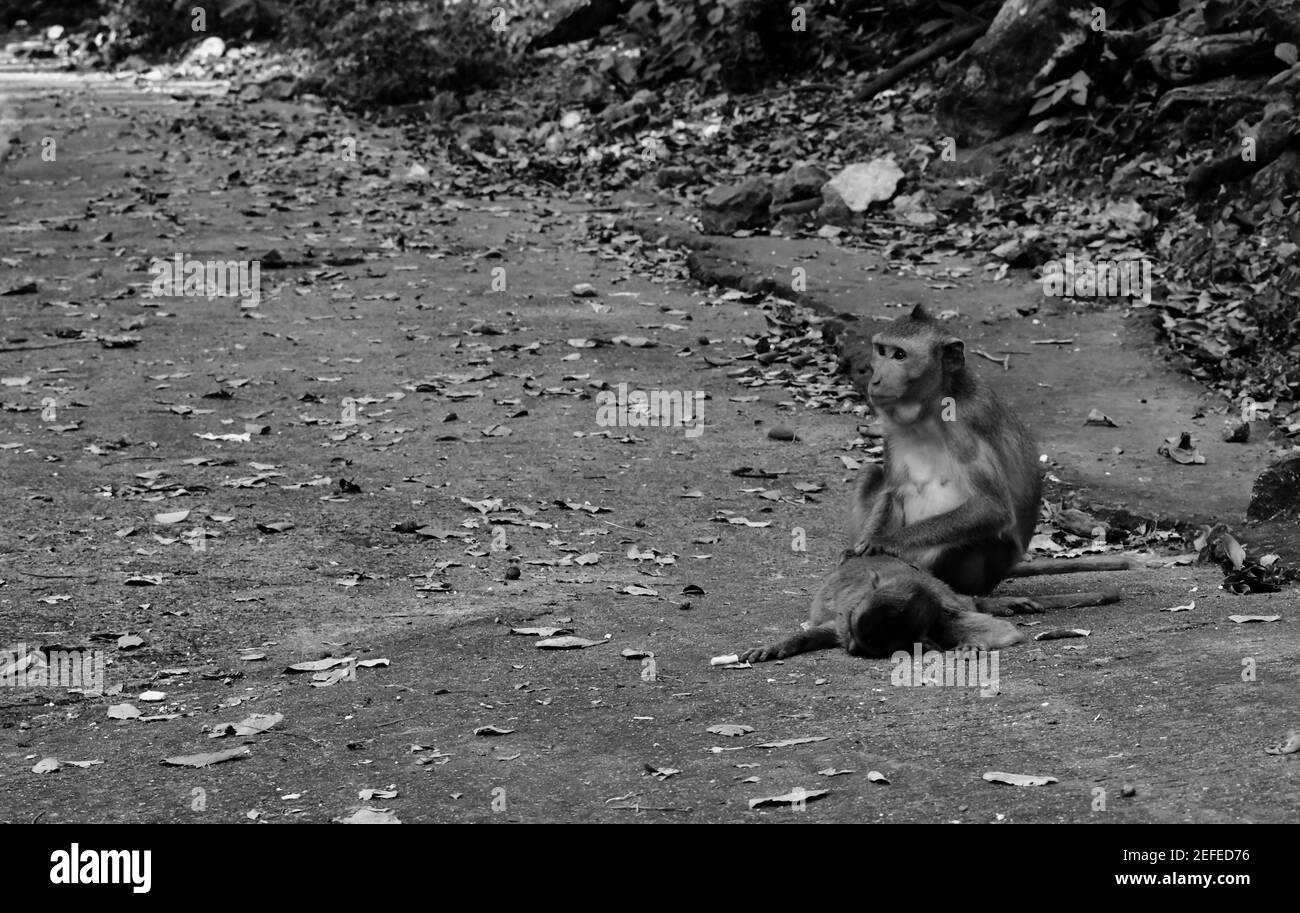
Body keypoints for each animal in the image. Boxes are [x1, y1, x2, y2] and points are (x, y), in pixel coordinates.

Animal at [738, 553, 1120, 664]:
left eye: (867, 648)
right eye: (856, 641)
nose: (852, 649)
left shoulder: (944, 617)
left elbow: (996, 632)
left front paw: (972, 646)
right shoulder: (845, 621)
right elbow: (823, 631)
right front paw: (781, 645)